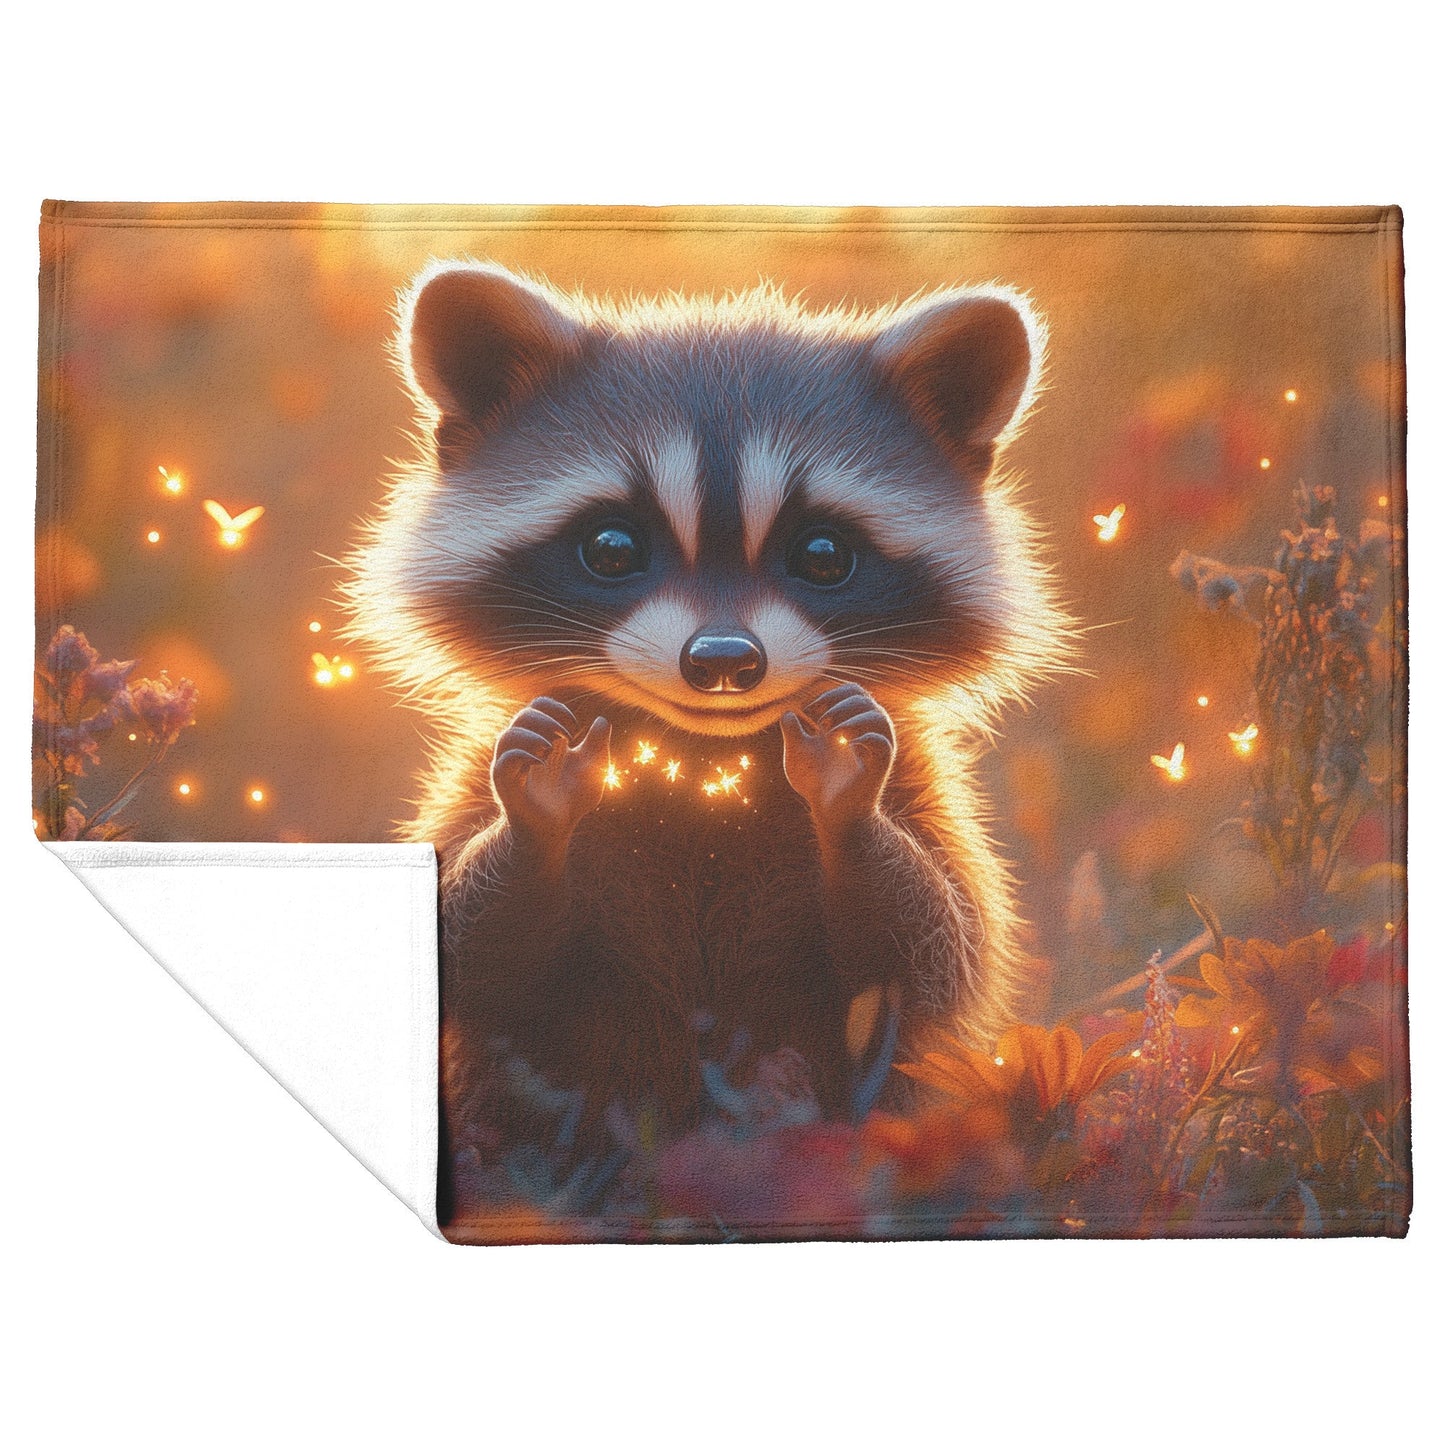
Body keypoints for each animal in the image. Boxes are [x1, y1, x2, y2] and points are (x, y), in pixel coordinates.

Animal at [345, 260, 1069, 1154]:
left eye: (821, 554)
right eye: (611, 547)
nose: (723, 662)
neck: (704, 758)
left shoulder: (924, 791)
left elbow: (941, 948)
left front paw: (849, 801)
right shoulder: (478, 774)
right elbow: (468, 951)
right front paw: (533, 812)